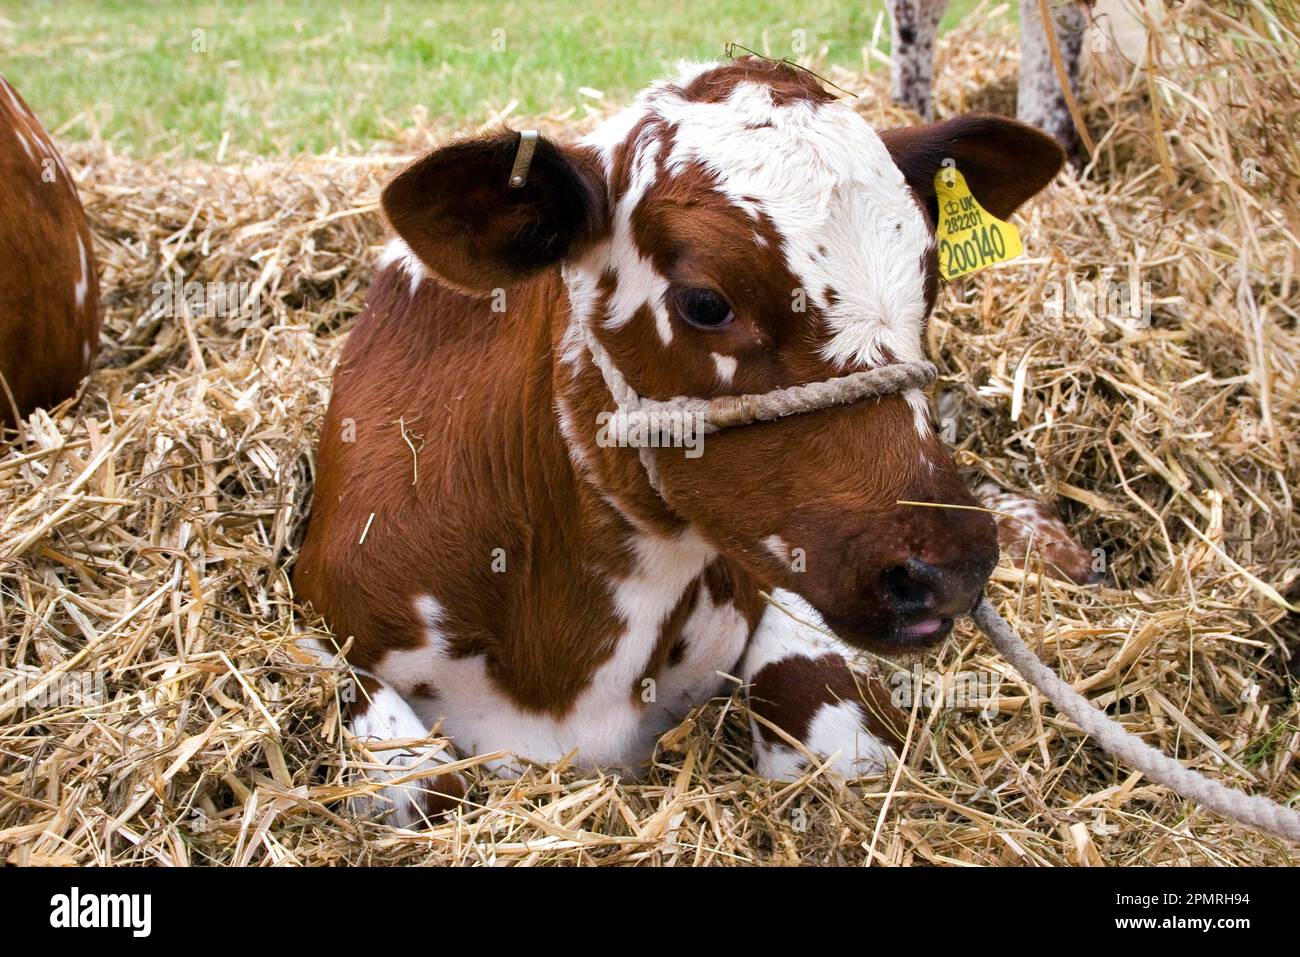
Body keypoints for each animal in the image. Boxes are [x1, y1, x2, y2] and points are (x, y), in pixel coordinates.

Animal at [294, 57, 1066, 825]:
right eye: (705, 302)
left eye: (929, 281)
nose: (951, 566)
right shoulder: (323, 617)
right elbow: (416, 780)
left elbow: (835, 747)